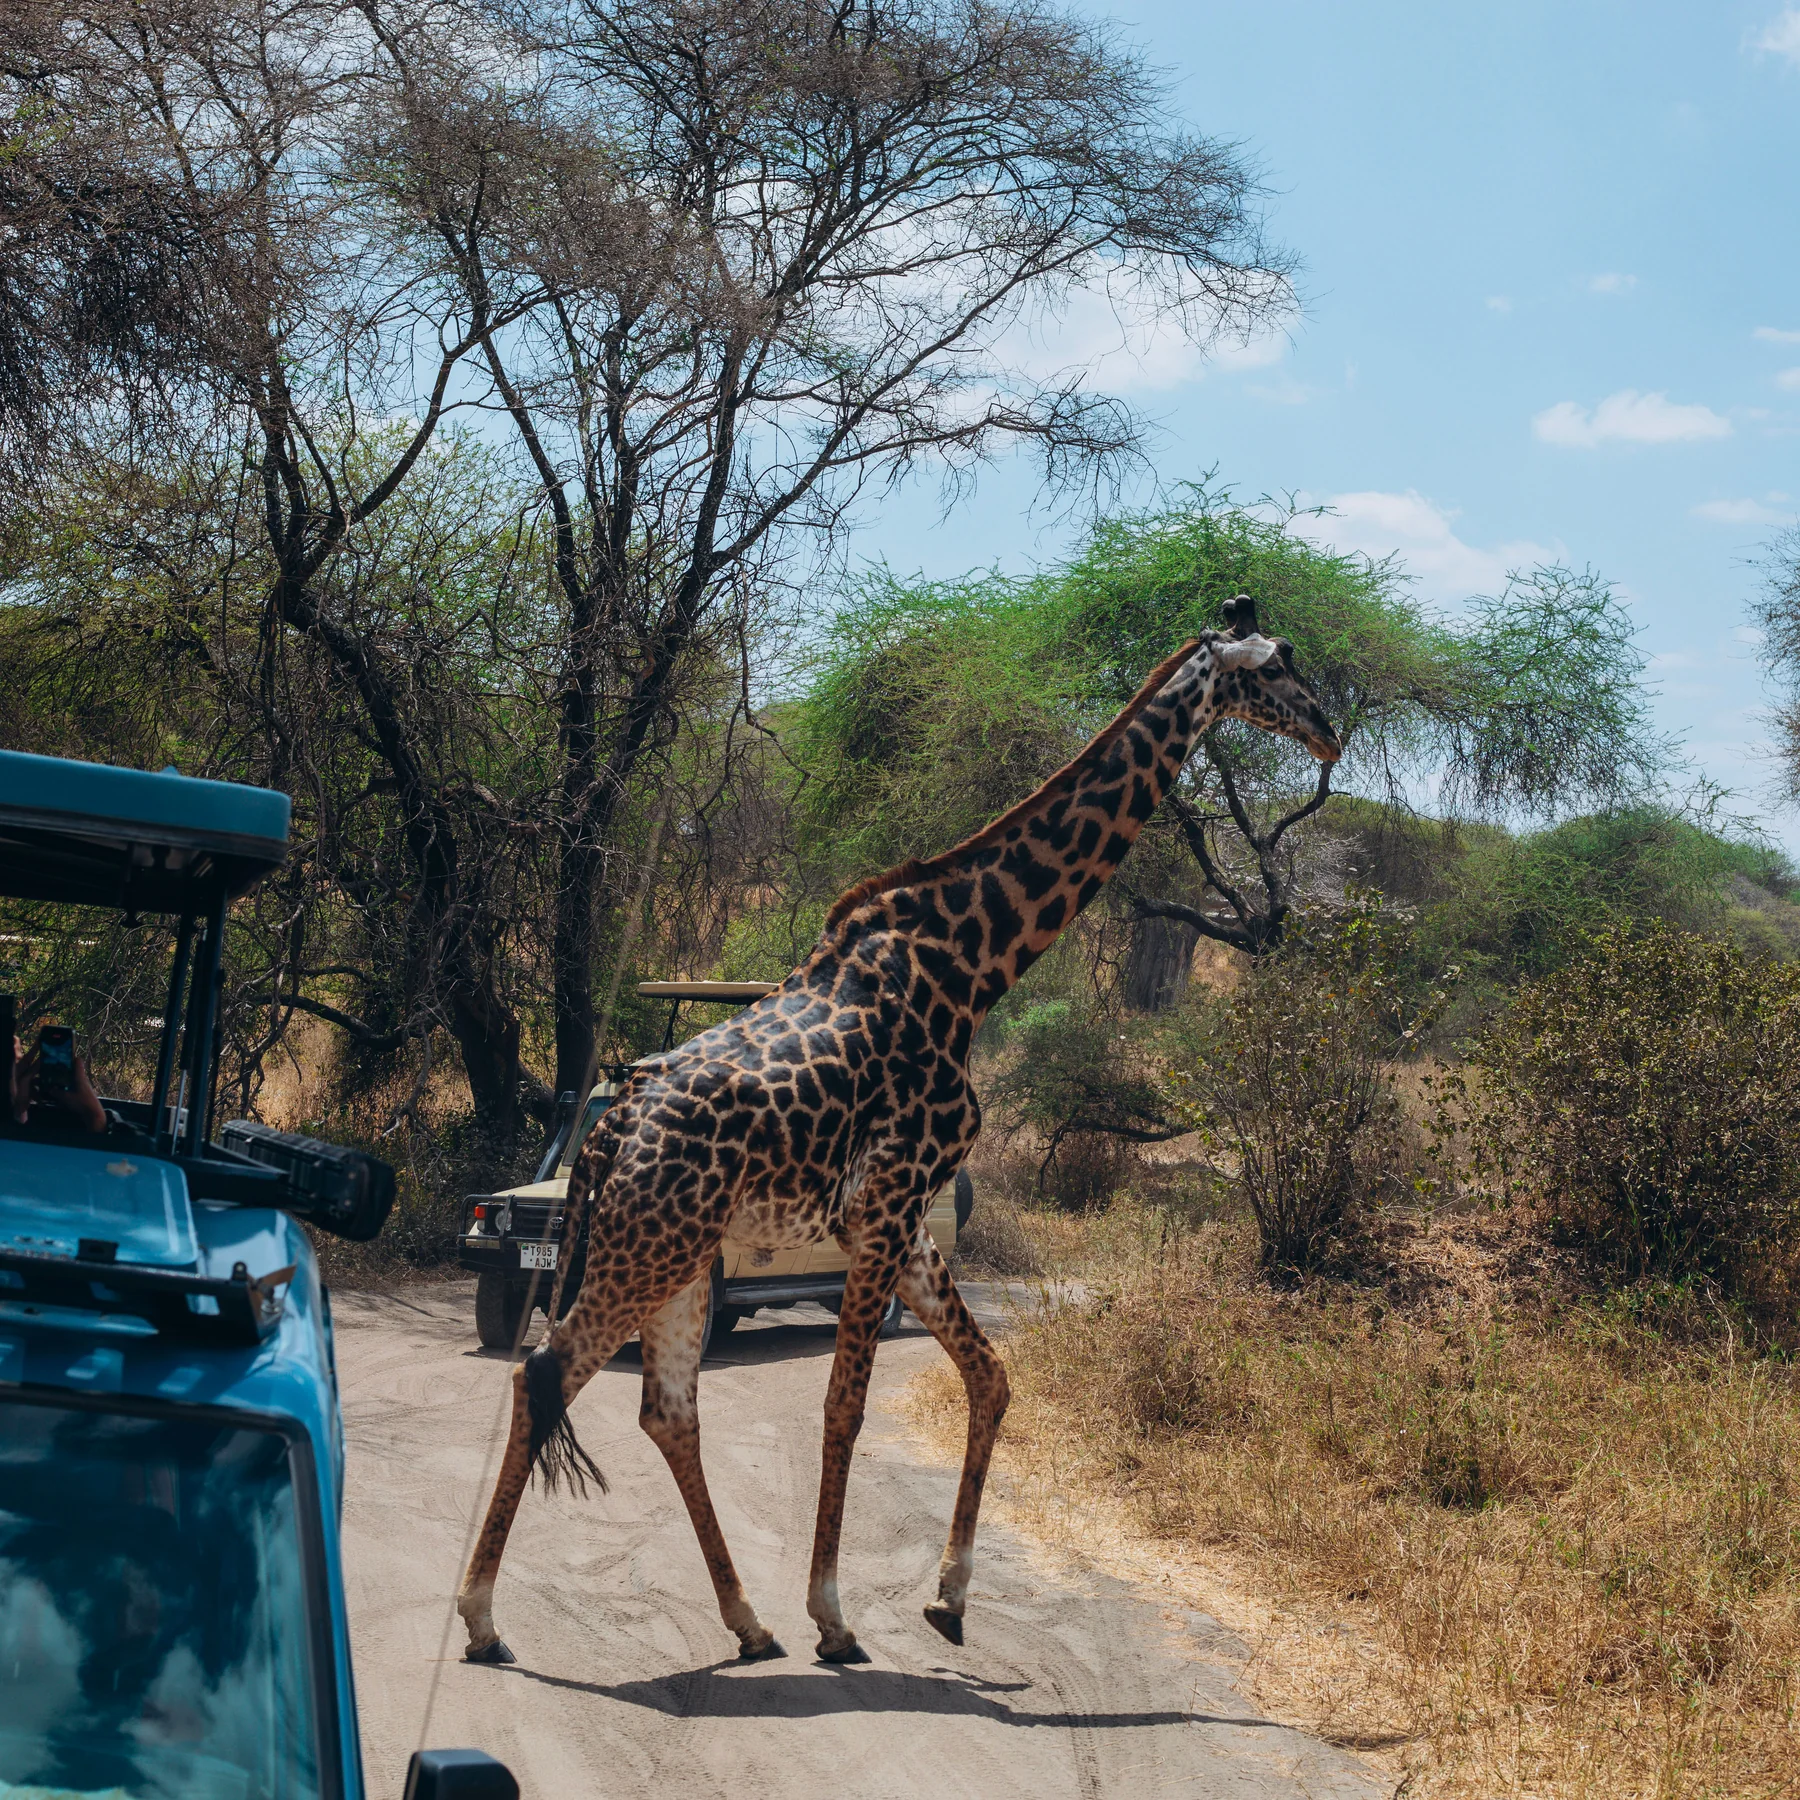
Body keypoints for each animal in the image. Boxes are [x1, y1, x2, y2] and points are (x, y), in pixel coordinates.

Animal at [456, 594, 1341, 1667]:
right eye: (1281, 662)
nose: (1331, 731)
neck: (973, 966)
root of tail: (607, 1126)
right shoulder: (880, 1207)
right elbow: (845, 1403)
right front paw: (836, 1614)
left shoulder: (906, 1217)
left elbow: (992, 1378)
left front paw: (949, 1599)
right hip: (647, 1247)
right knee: (544, 1372)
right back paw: (484, 1617)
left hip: (679, 1252)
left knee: (667, 1410)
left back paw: (747, 1623)